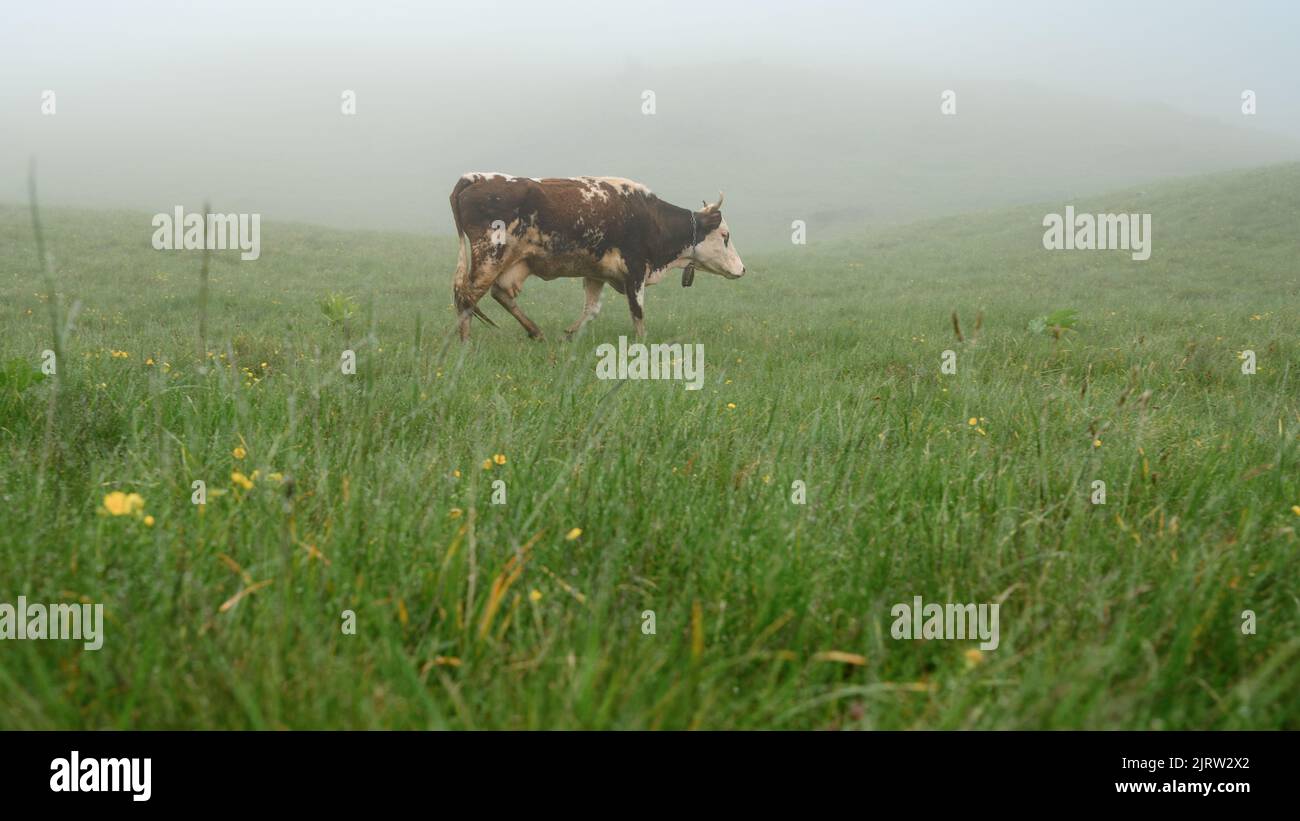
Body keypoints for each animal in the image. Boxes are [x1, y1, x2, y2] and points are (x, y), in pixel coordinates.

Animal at [449, 173, 745, 340]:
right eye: (725, 235)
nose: (742, 269)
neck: (651, 217)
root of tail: (477, 178)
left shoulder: (596, 272)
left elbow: (591, 309)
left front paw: (569, 334)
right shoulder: (635, 270)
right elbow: (638, 312)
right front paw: (643, 343)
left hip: (513, 262)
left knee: (498, 294)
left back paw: (536, 332)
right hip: (490, 256)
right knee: (468, 296)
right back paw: (465, 343)